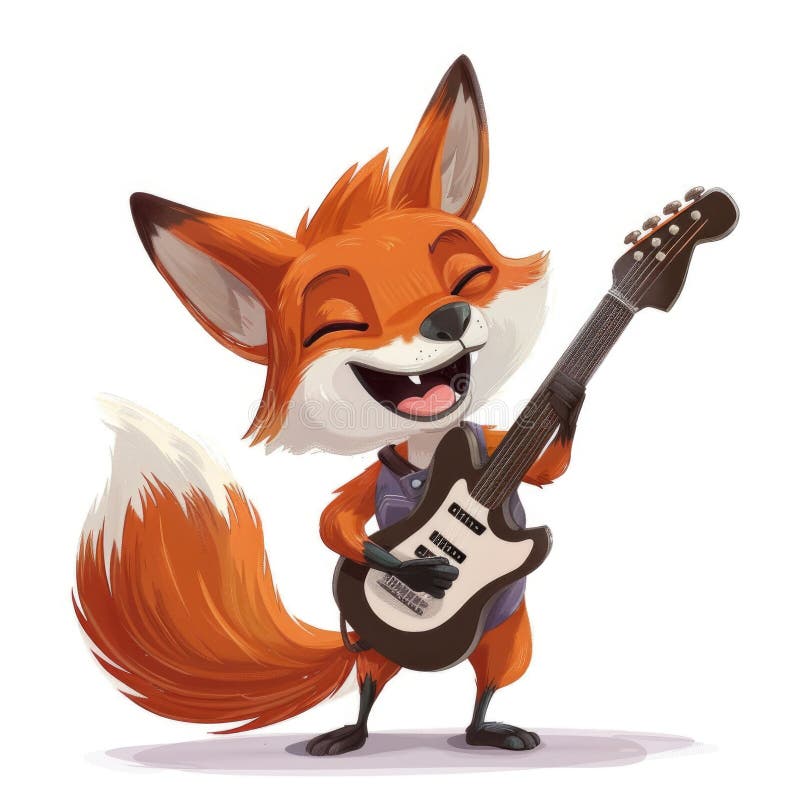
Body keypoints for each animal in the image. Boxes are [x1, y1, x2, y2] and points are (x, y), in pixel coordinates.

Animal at [74, 55, 582, 756]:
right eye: (340, 323)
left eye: (467, 277)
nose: (448, 317)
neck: (434, 445)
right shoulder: (376, 472)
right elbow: (335, 523)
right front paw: (416, 572)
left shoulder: (502, 446)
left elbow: (548, 467)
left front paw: (566, 395)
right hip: (385, 647)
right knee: (370, 678)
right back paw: (349, 733)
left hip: (509, 635)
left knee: (489, 678)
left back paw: (489, 730)